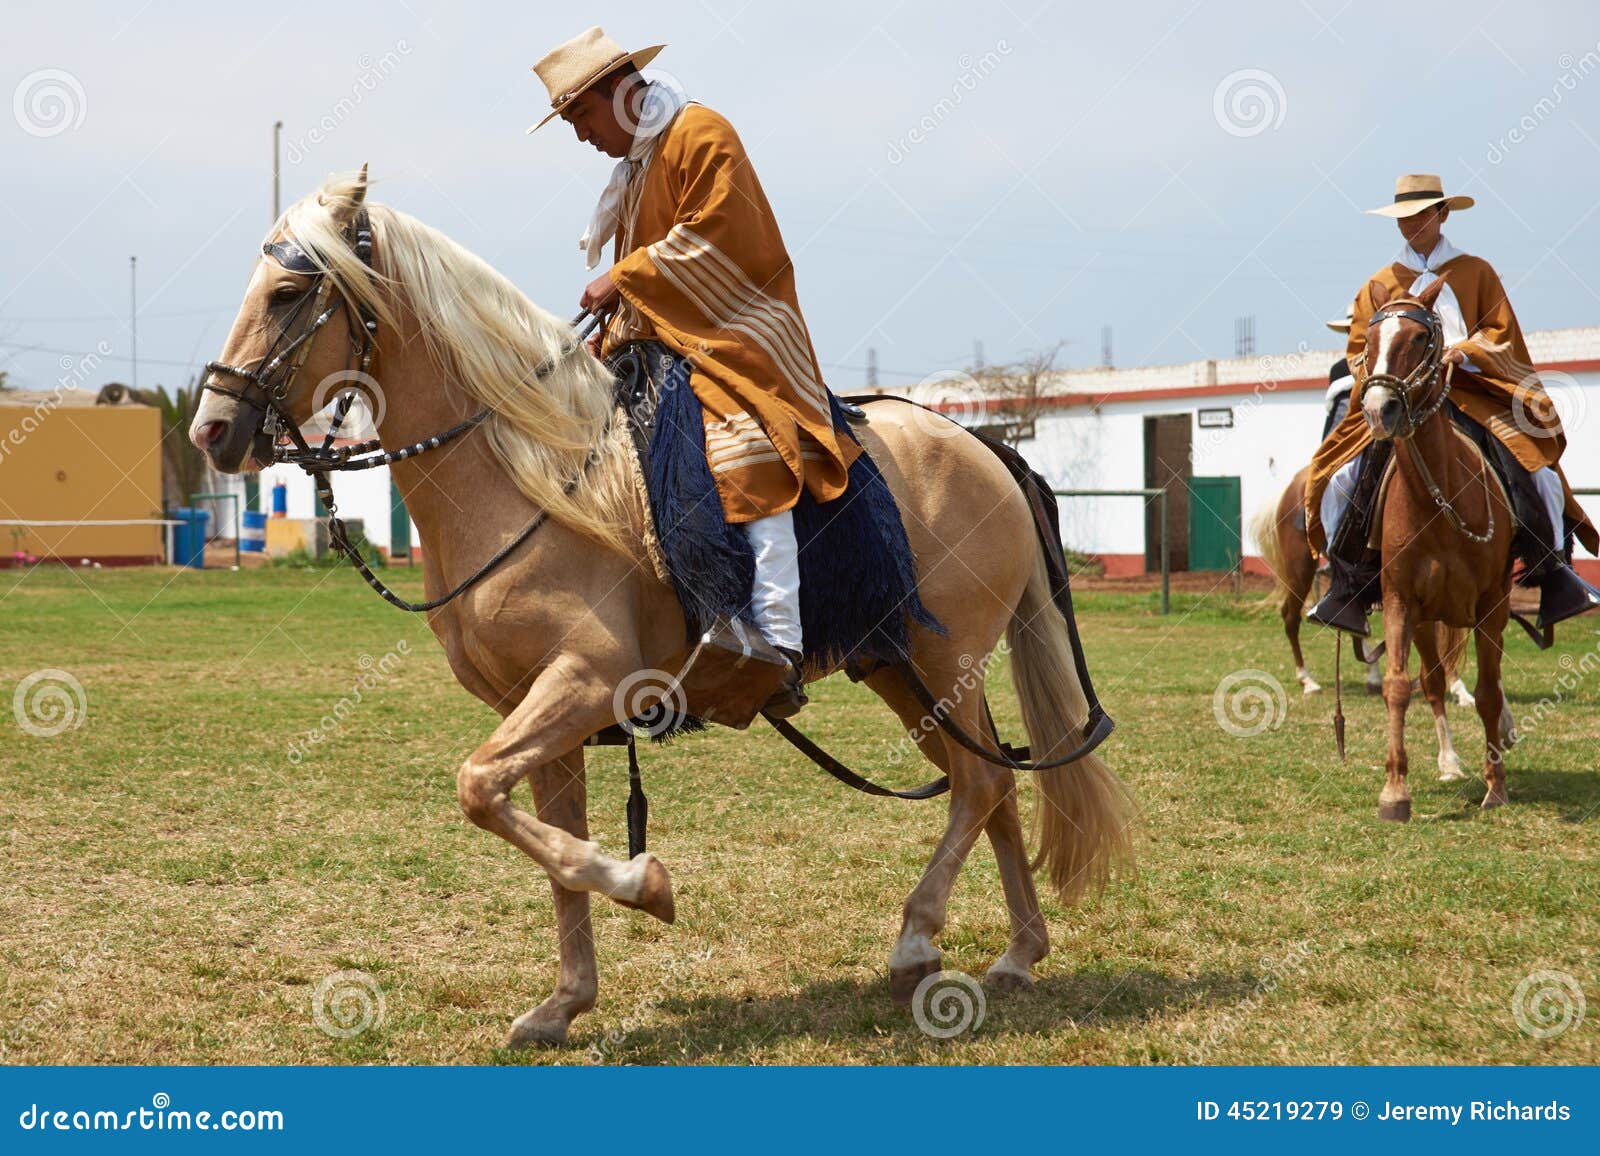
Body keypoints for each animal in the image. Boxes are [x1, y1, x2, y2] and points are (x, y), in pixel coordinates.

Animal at [188, 169, 1134, 1047]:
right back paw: (1017, 953)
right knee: (996, 788)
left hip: (946, 659)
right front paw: (563, 1002)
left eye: (285, 294)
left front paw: (645, 885)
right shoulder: (538, 709)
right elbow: (543, 834)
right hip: (904, 674)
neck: (529, 478)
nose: (211, 429)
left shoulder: (584, 680)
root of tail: (981, 445)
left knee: (982, 783)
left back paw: (916, 944)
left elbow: (477, 788)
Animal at [1356, 277, 1519, 819]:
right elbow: (1397, 685)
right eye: (1368, 341)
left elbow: (1488, 691)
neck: (1440, 498)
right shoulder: (1400, 601)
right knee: (1430, 682)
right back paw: (1448, 762)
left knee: (1490, 681)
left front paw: (1496, 786)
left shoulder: (1492, 602)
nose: (1379, 409)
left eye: (1421, 338)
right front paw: (1394, 792)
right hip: (1428, 621)